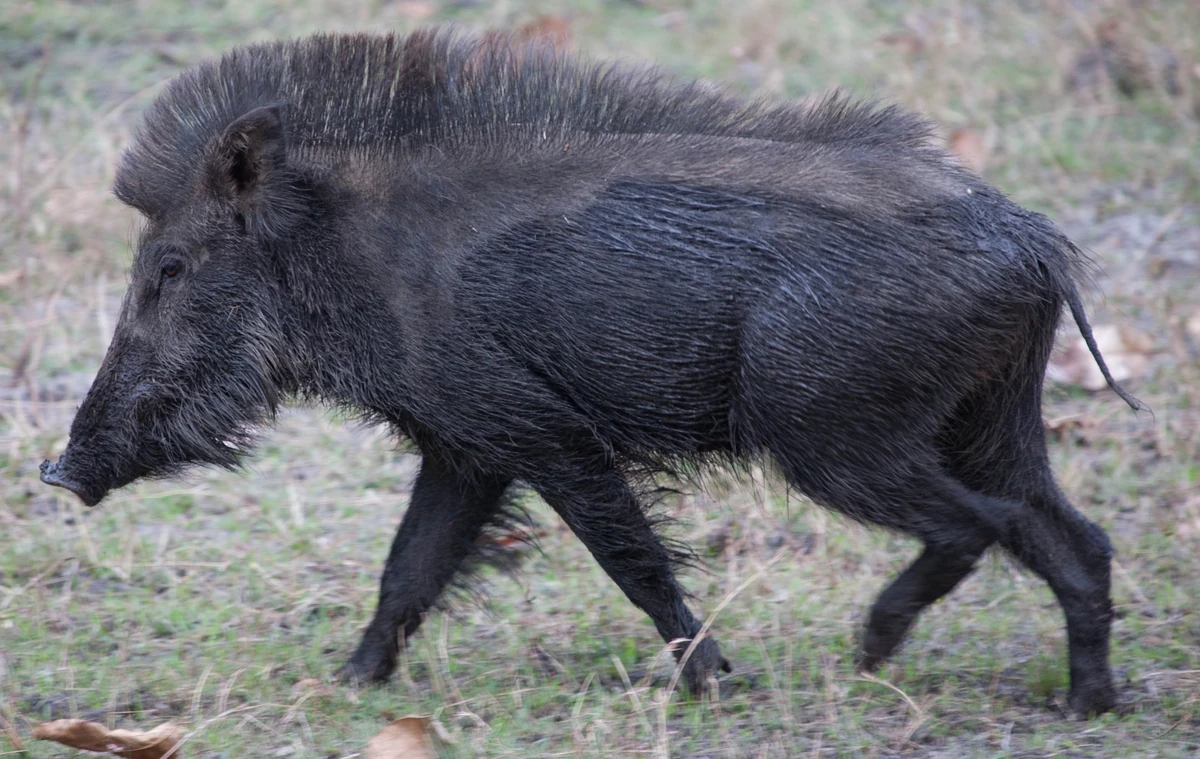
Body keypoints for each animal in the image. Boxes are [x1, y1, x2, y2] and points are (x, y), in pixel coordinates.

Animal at [39, 30, 1141, 715]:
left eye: (169, 267)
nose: (56, 470)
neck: (351, 254)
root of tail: (1034, 244)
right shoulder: (467, 447)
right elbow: (408, 570)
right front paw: (343, 687)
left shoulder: (542, 429)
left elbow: (632, 560)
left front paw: (715, 682)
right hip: (988, 421)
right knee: (1074, 538)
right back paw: (1085, 704)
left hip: (835, 432)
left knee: (977, 527)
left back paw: (868, 652)